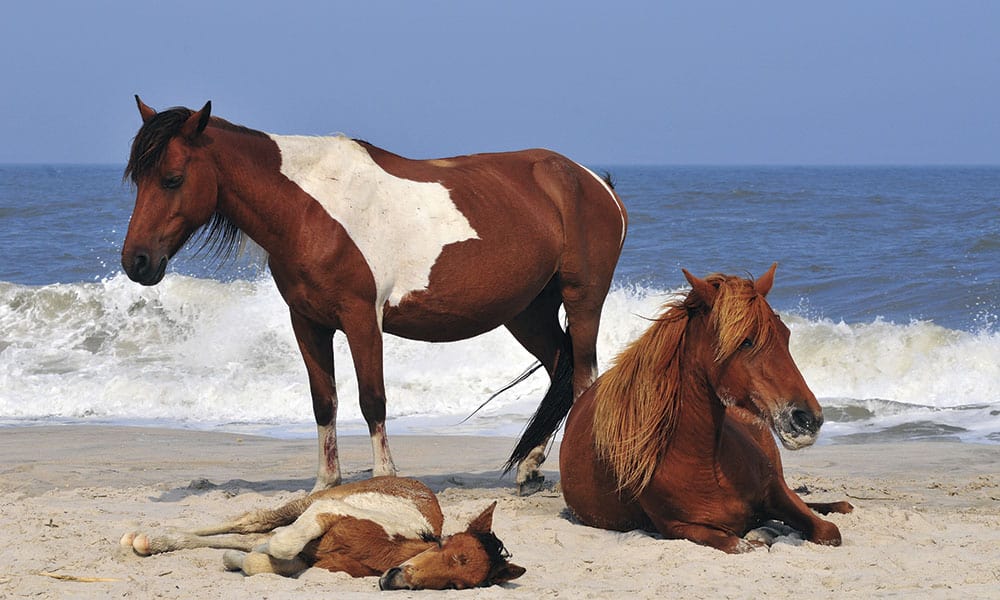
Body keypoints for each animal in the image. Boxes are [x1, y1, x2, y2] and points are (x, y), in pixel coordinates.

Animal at [120, 476, 525, 590]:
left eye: (459, 586)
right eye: (450, 549)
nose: (395, 581)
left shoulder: (311, 558)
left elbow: (262, 560)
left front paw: (237, 561)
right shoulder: (323, 512)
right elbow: (280, 543)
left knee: (250, 534)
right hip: (310, 501)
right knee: (253, 521)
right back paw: (148, 538)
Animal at [121, 97, 627, 494]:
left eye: (172, 178)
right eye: (137, 180)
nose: (136, 262)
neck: (309, 209)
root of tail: (592, 181)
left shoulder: (362, 318)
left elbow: (372, 399)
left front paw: (384, 478)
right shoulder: (307, 322)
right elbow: (324, 401)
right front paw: (325, 484)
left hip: (583, 301)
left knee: (584, 378)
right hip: (526, 312)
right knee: (561, 368)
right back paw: (530, 466)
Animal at [558, 264, 853, 553]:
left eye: (786, 335)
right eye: (746, 341)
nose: (808, 419)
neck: (705, 464)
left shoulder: (776, 491)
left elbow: (828, 531)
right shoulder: (678, 528)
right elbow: (741, 544)